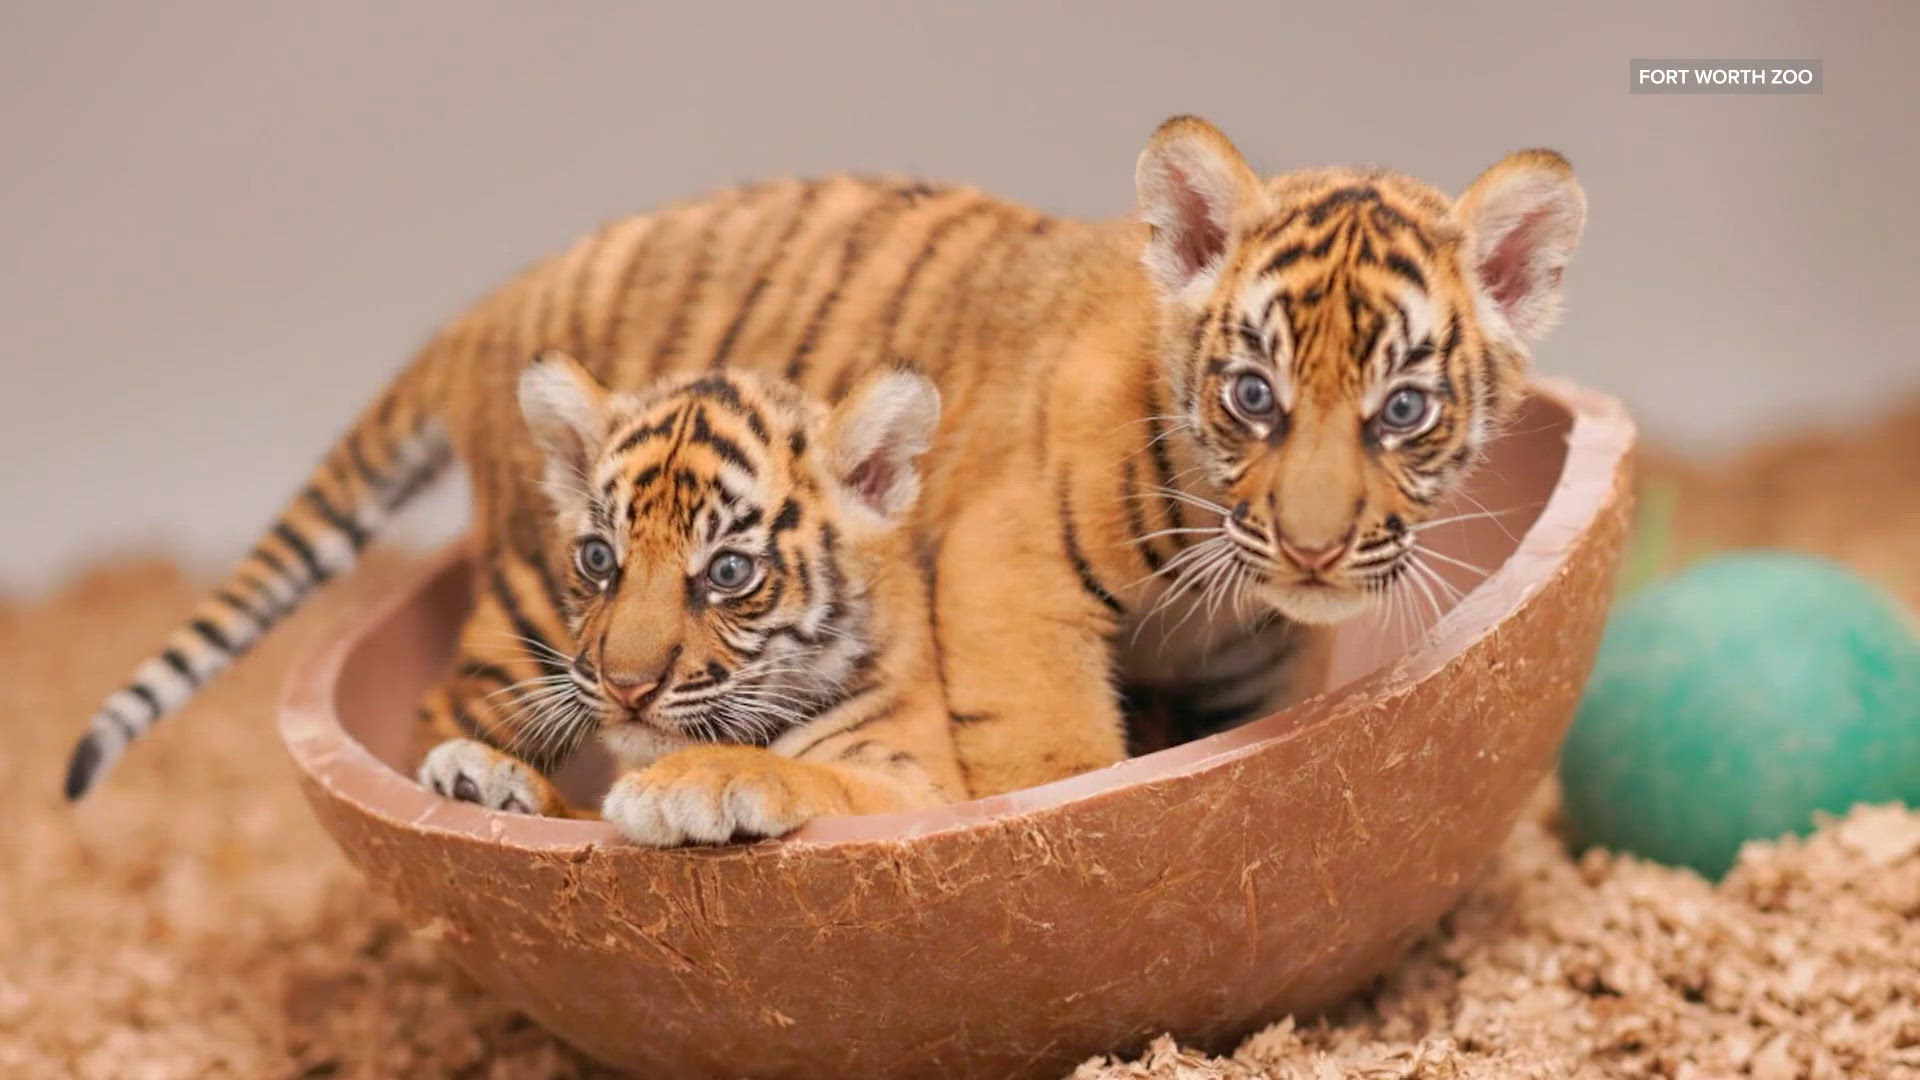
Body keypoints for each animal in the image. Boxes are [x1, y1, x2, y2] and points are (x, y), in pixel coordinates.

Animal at [415, 354, 961, 843]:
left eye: (729, 571)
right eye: (598, 558)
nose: (626, 688)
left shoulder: (921, 786)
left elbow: (829, 777)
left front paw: (692, 780)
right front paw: (485, 778)